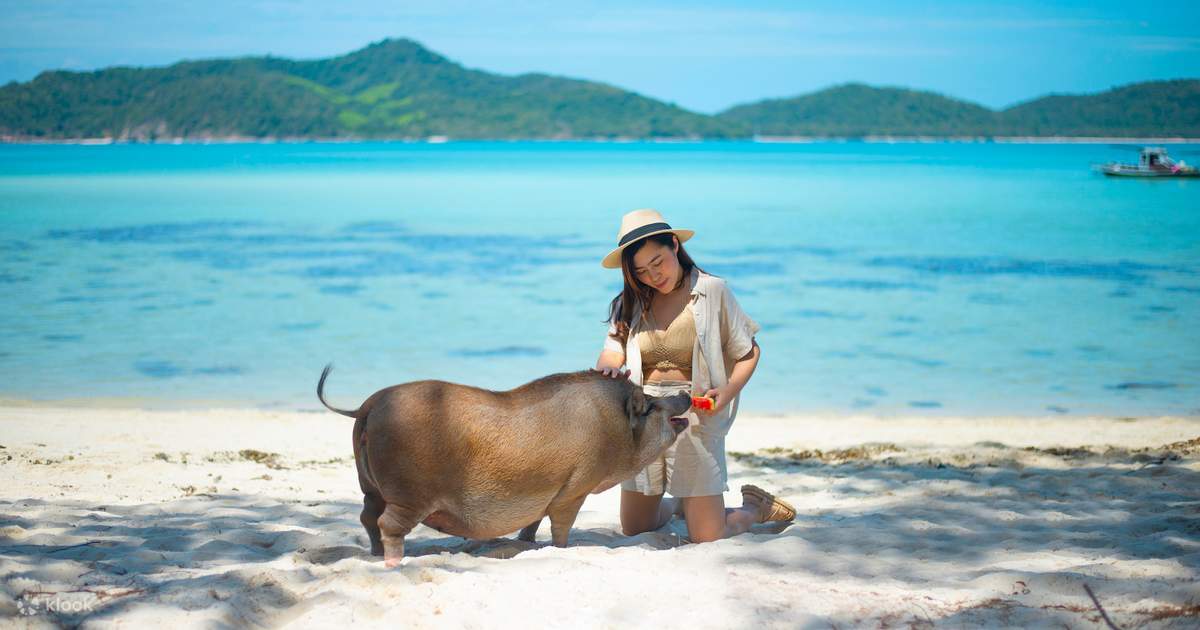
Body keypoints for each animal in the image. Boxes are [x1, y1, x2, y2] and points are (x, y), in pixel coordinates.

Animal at [317, 365, 693, 567]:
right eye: (651, 405)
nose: (685, 394)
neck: (612, 428)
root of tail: (366, 406)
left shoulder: (547, 491)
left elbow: (534, 521)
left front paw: (526, 543)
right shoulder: (576, 487)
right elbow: (561, 526)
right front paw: (561, 550)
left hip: (369, 486)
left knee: (367, 517)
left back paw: (374, 554)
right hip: (409, 492)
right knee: (388, 524)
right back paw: (394, 561)